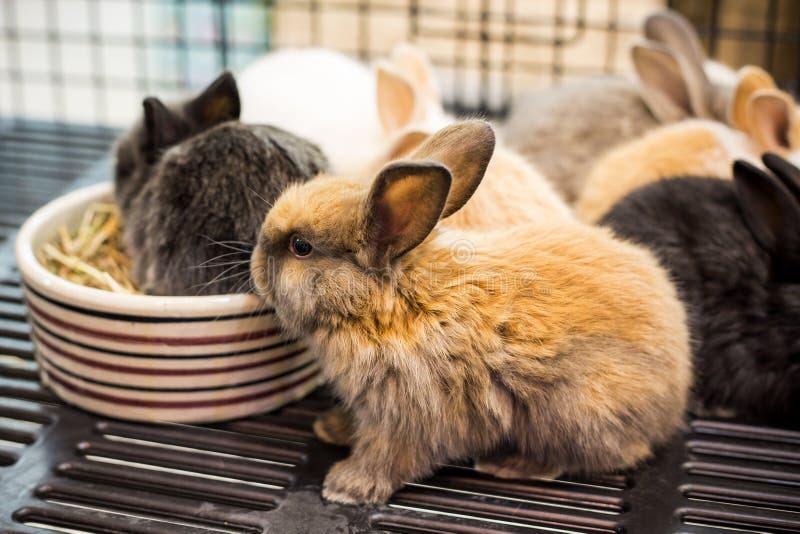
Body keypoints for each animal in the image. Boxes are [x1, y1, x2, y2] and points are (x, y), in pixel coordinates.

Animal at [250, 120, 691, 504]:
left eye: (300, 247)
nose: (255, 261)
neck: (392, 305)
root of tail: (677, 388)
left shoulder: (406, 414)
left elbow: (387, 456)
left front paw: (346, 487)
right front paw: (331, 429)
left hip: (576, 414)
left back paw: (511, 464)